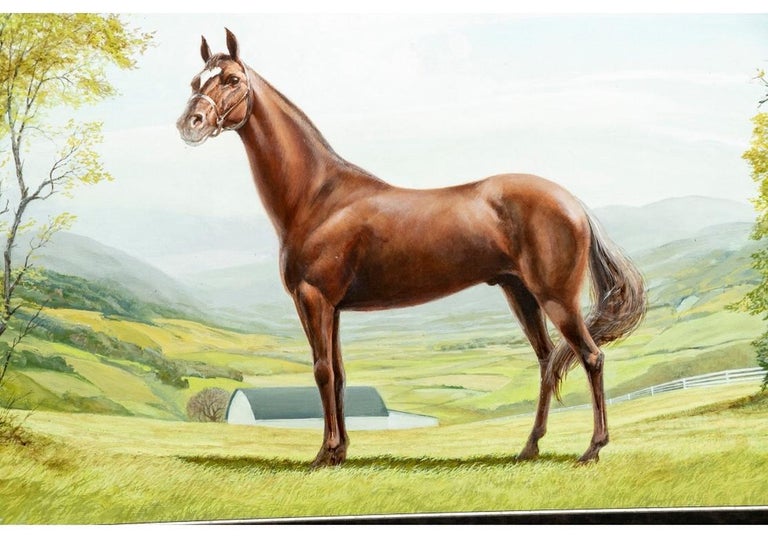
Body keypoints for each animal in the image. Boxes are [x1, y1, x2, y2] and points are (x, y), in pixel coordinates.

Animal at [176, 29, 646, 468]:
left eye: (233, 79)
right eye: (195, 81)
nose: (190, 123)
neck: (319, 196)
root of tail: (574, 203)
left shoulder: (313, 299)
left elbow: (322, 371)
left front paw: (324, 453)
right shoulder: (334, 307)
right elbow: (340, 374)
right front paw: (340, 451)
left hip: (556, 298)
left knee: (591, 357)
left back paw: (592, 448)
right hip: (521, 294)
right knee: (548, 361)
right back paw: (529, 447)